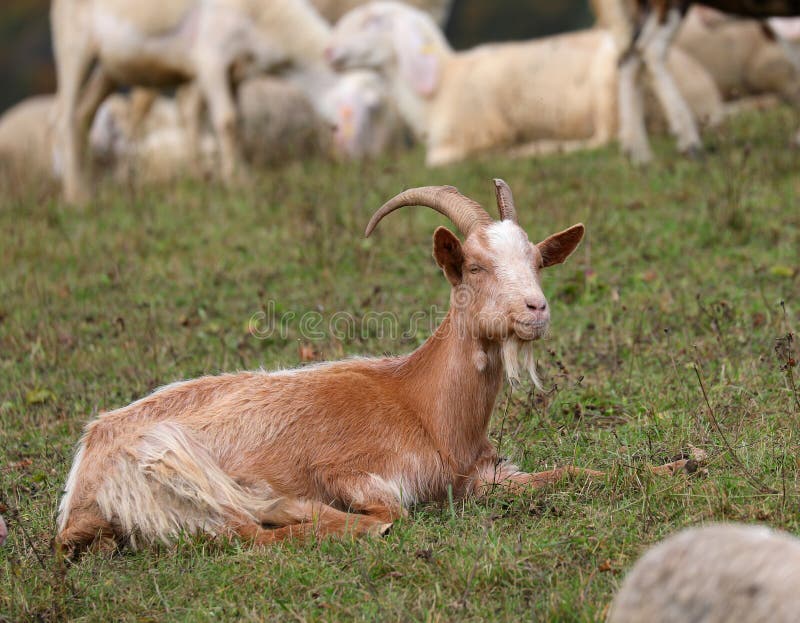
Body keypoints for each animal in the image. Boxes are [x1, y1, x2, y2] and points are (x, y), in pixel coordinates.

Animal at [56, 179, 602, 555]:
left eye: (537, 262)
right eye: (474, 266)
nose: (536, 309)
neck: (424, 405)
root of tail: (78, 488)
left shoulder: (486, 474)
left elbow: (581, 471)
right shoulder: (348, 467)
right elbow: (390, 505)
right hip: (170, 462)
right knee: (247, 530)